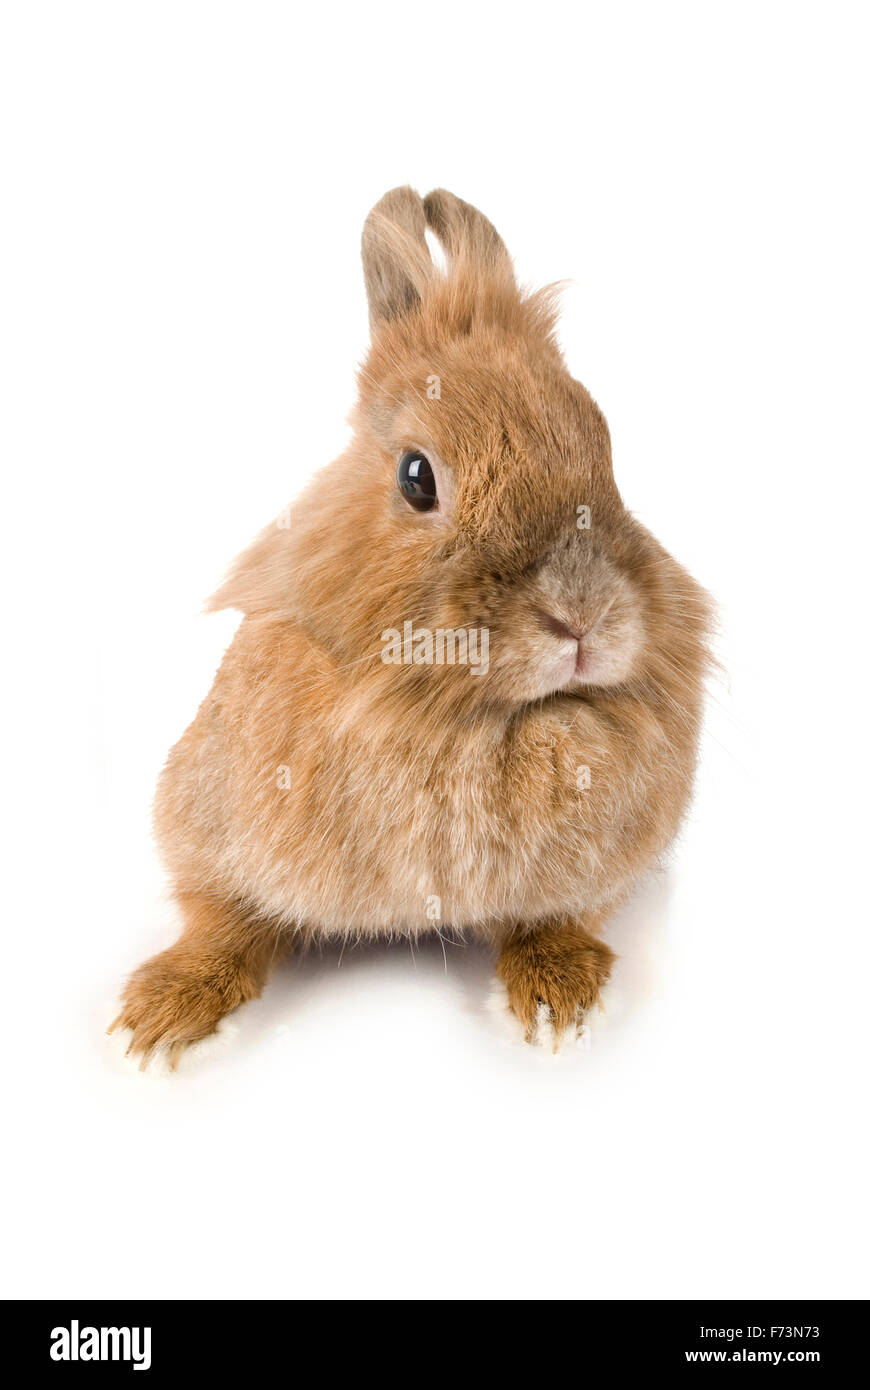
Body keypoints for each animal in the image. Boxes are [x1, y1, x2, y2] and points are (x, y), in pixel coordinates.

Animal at [111, 186, 711, 1065]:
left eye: (604, 450)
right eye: (416, 477)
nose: (582, 617)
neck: (459, 721)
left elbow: (555, 922)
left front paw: (558, 1002)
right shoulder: (212, 831)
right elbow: (220, 922)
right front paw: (160, 1018)